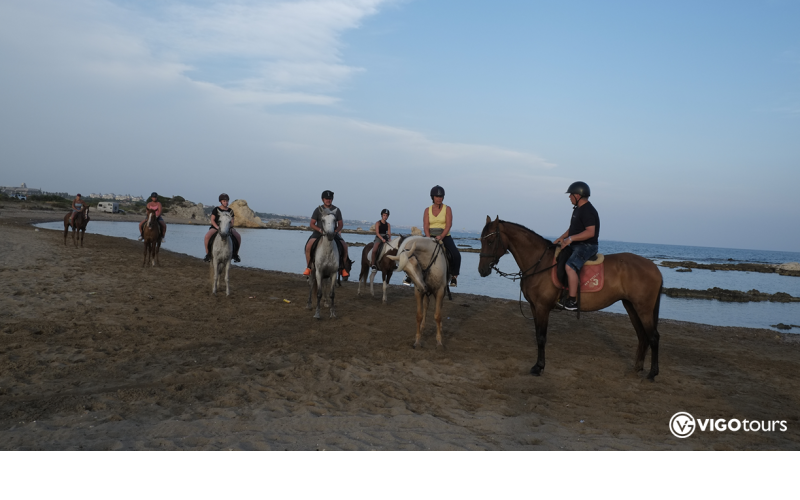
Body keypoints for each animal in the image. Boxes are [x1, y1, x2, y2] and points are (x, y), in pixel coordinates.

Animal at [478, 216, 663, 381]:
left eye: (491, 240)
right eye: (481, 240)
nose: (482, 270)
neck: (540, 263)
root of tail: (654, 268)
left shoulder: (542, 307)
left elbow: (541, 338)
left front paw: (539, 367)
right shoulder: (534, 307)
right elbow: (538, 335)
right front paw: (538, 365)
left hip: (643, 309)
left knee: (653, 337)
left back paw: (652, 373)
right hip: (631, 306)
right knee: (642, 336)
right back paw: (637, 368)